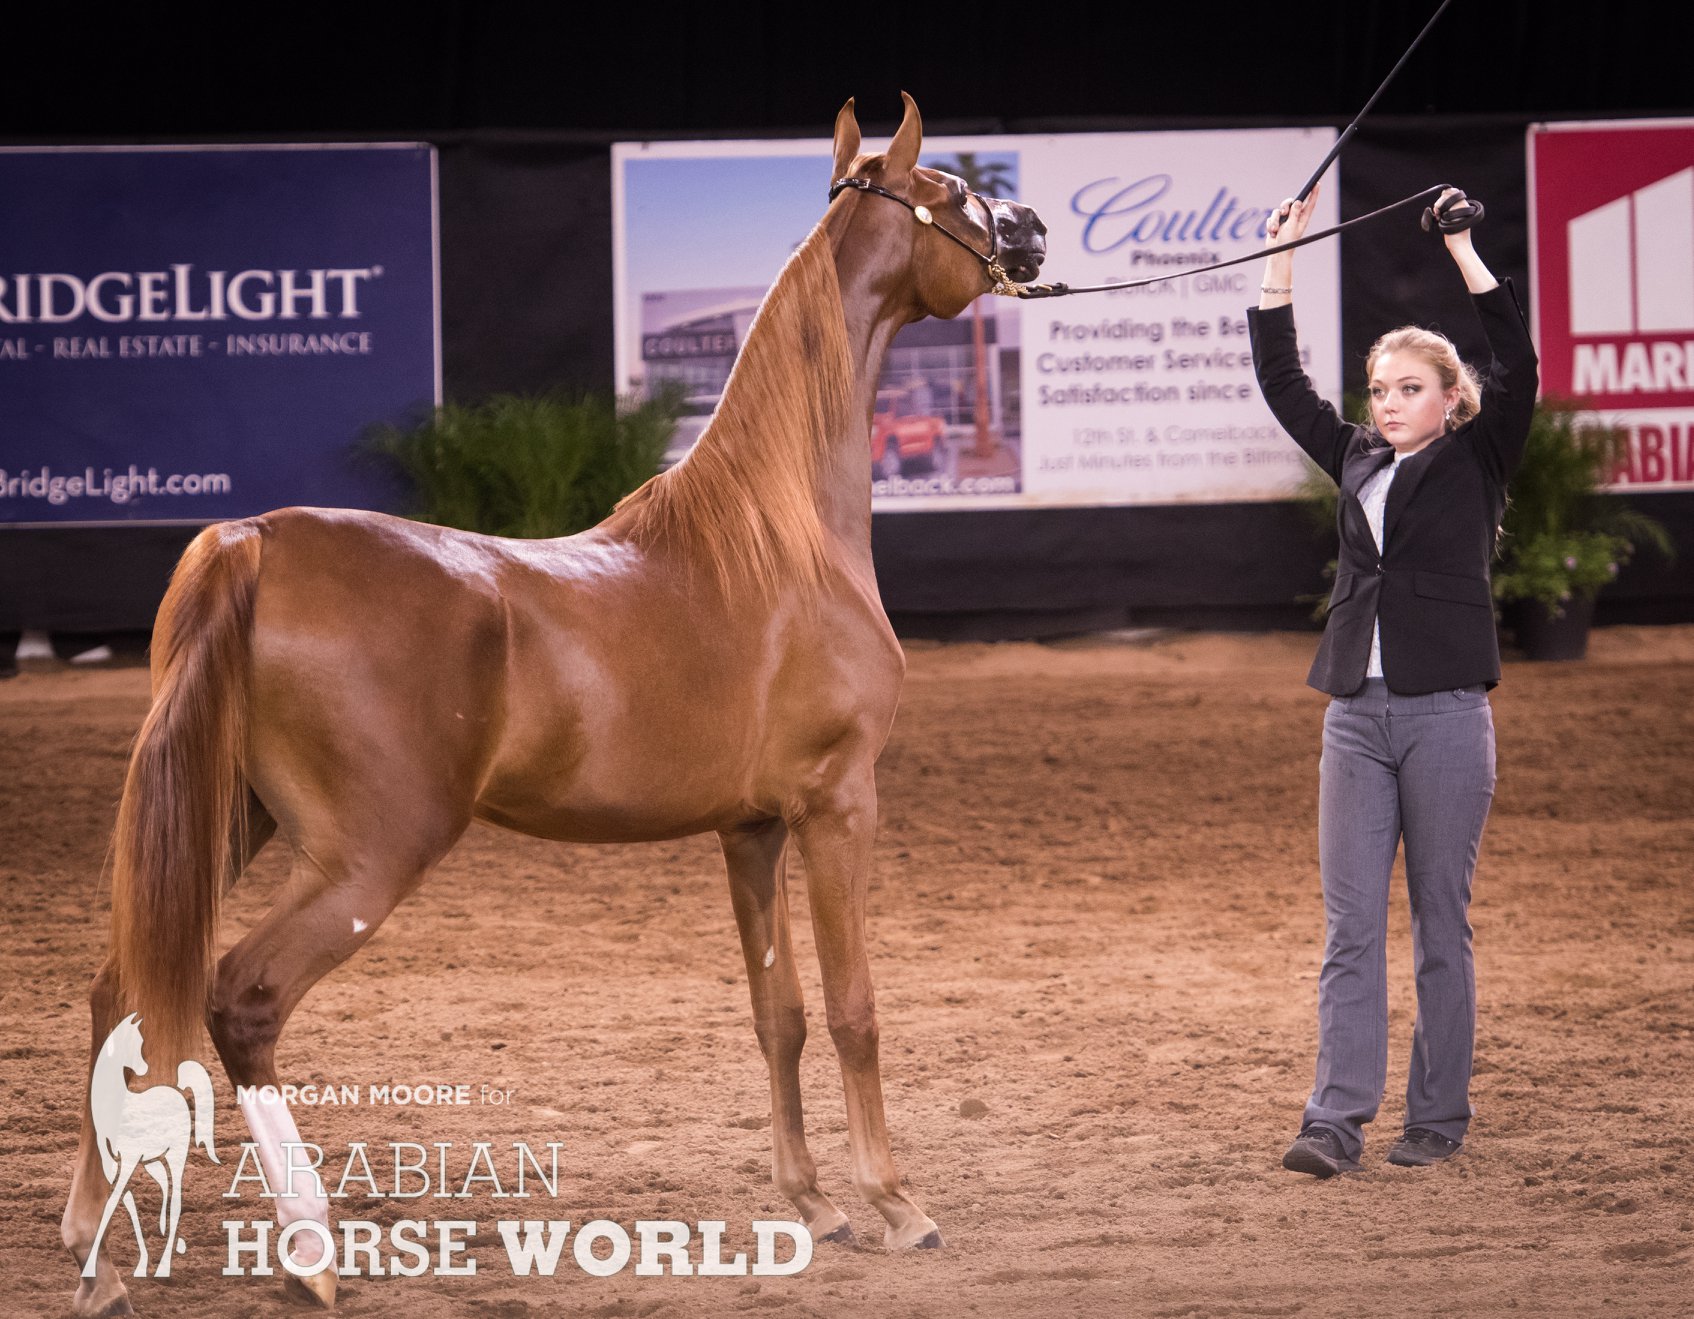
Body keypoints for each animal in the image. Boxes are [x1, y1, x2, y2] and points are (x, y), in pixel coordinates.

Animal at [83, 1015, 218, 1282]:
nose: (143, 1068)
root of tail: (177, 1092)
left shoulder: (129, 1161)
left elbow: (111, 1205)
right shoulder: (115, 1166)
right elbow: (127, 1205)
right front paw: (141, 1263)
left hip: (176, 1157)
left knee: (176, 1200)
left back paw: (165, 1265)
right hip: (153, 1162)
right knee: (164, 1186)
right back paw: (165, 1233)